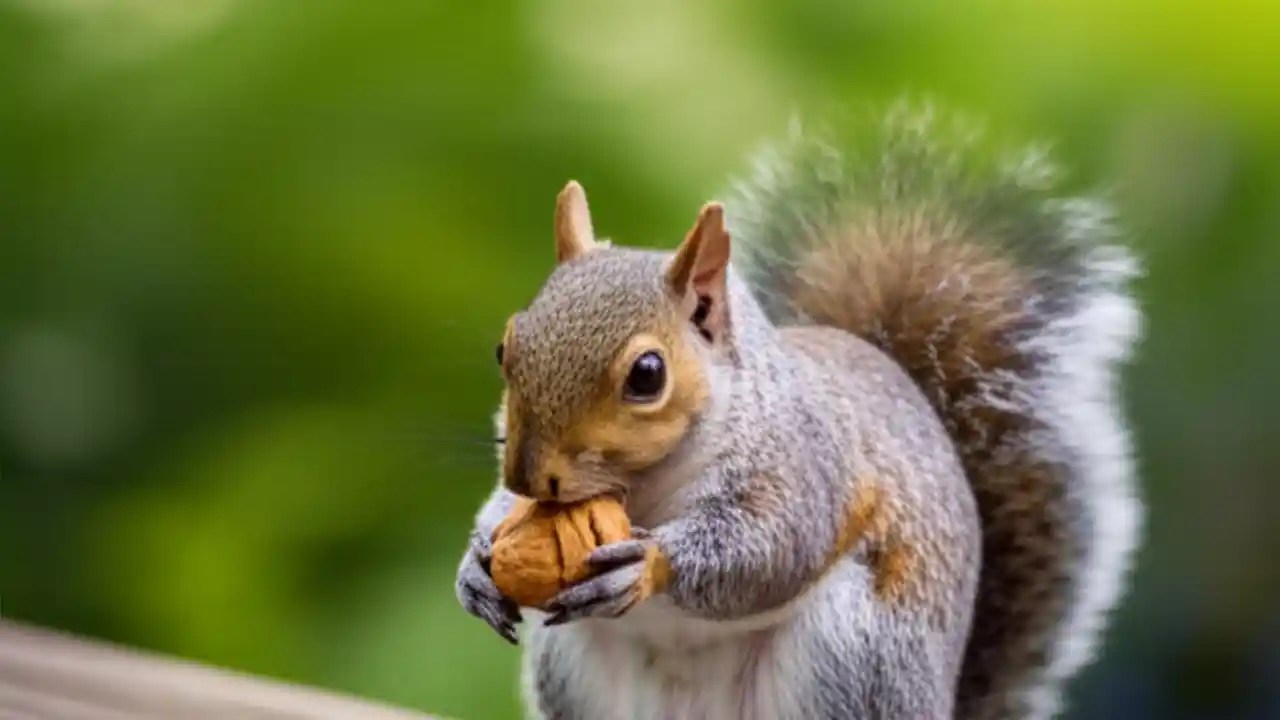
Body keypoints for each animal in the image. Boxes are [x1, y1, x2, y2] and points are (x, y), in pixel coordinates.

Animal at [455, 102, 1142, 720]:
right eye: (505, 346)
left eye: (647, 375)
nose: (528, 473)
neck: (642, 485)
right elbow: (503, 514)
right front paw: (478, 562)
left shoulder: (800, 461)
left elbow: (772, 544)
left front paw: (648, 563)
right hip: (572, 664)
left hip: (848, 654)